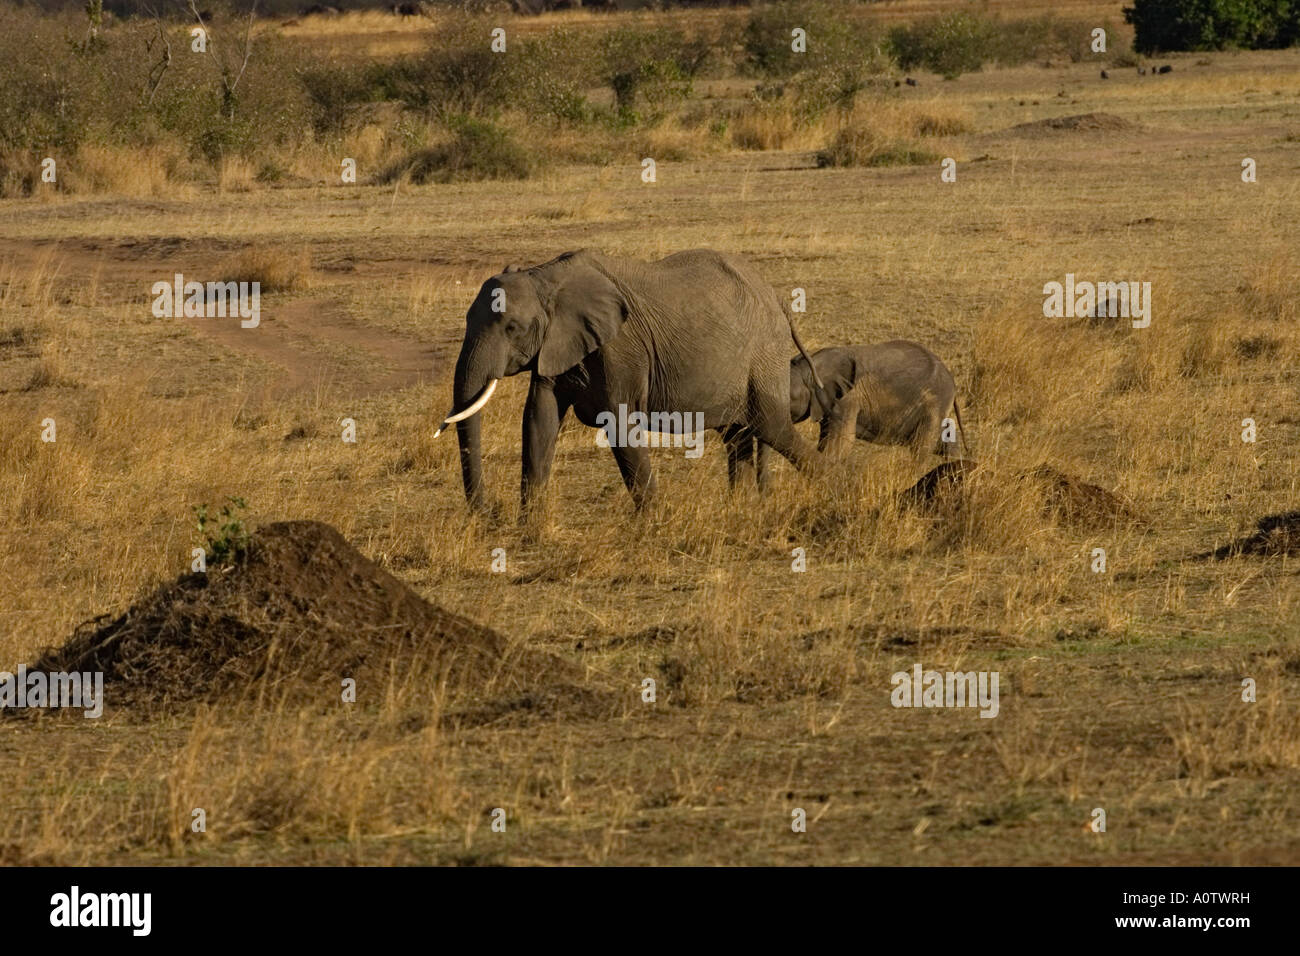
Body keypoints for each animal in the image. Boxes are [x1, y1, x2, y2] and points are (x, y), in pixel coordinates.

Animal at [433, 248, 830, 512]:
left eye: (512, 328)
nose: (486, 514)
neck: (544, 277)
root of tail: (777, 297)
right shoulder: (556, 345)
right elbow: (538, 420)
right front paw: (529, 528)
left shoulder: (620, 348)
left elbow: (619, 425)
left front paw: (653, 523)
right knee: (739, 435)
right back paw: (741, 510)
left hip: (763, 353)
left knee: (771, 425)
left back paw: (835, 487)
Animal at [727, 341, 967, 487]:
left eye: (790, 400)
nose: (766, 492)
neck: (811, 364)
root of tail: (951, 379)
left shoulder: (847, 400)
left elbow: (839, 445)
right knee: (944, 443)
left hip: (934, 404)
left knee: (921, 448)